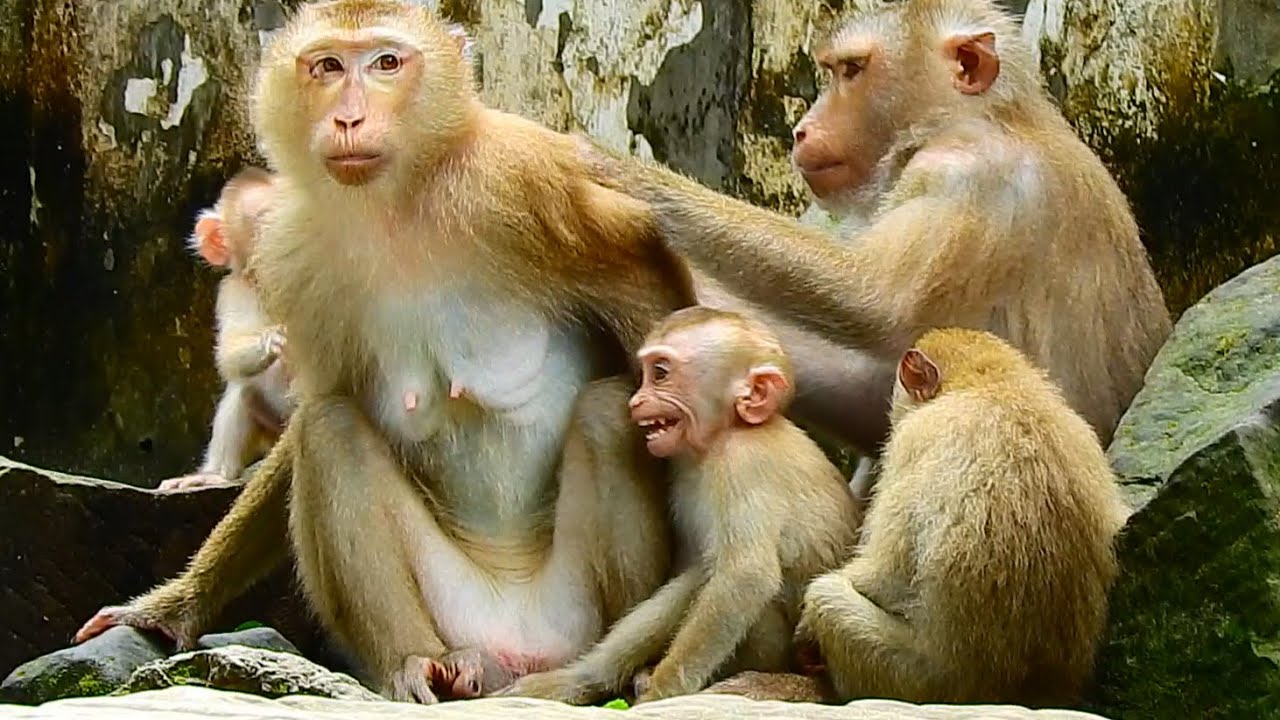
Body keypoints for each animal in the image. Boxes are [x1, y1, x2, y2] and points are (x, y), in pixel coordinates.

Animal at [159, 168, 294, 493]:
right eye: (266, 219)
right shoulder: (234, 289)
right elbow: (228, 354)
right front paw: (274, 339)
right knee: (243, 391)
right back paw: (216, 474)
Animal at [497, 307, 862, 705]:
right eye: (645, 374)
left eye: (660, 373)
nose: (636, 401)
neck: (727, 432)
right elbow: (697, 574)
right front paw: (587, 678)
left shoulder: (741, 462)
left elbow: (745, 577)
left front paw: (662, 691)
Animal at [578, 0, 1171, 459]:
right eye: (837, 70)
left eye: (851, 71)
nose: (802, 130)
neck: (992, 118)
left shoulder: (966, 175)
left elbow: (871, 300)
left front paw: (611, 170)